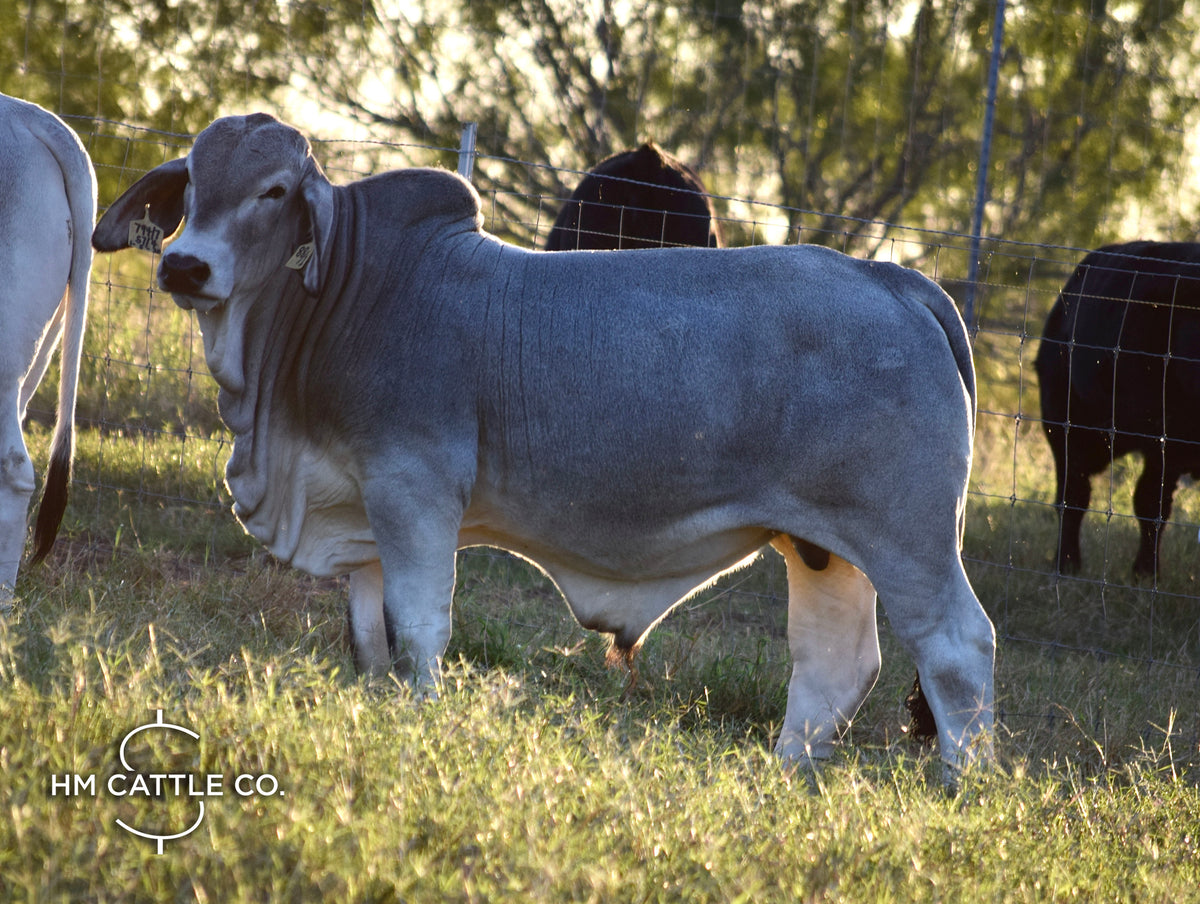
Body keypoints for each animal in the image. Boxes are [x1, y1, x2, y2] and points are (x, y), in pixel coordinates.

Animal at [1036, 241, 1200, 579]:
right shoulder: (1163, 442)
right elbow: (1150, 505)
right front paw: (1145, 574)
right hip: (1064, 422)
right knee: (1073, 496)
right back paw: (1066, 563)